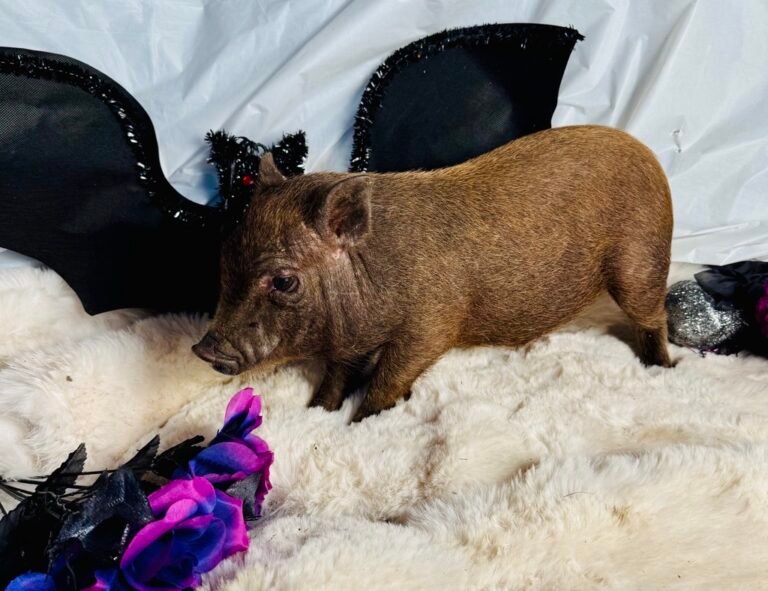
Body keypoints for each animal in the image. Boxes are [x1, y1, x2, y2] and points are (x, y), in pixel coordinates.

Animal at [193, 125, 673, 422]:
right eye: (225, 260)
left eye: (284, 280)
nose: (203, 348)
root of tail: (646, 152)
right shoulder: (352, 340)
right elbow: (337, 376)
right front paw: (317, 413)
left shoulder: (430, 329)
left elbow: (386, 381)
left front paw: (362, 422)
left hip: (641, 261)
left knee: (655, 317)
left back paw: (662, 368)